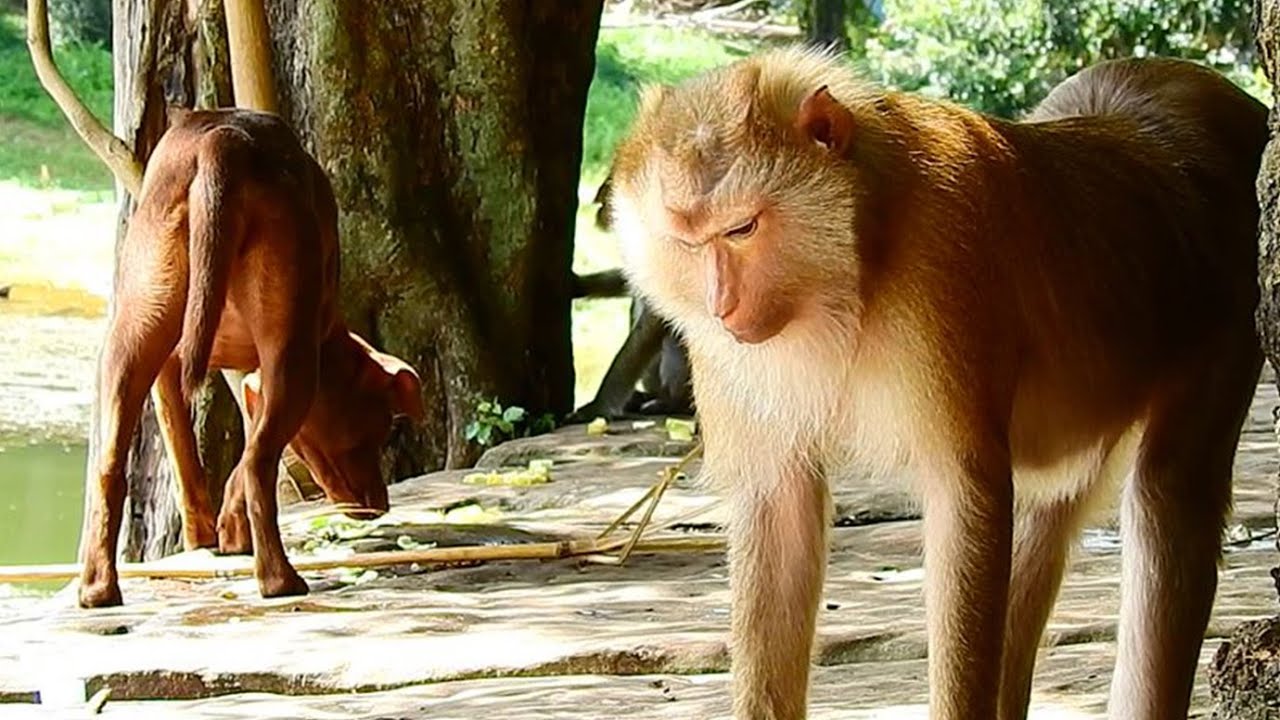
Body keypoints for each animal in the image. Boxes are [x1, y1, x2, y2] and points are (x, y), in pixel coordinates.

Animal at [604, 47, 1266, 720]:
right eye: (687, 241)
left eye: (742, 229)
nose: (722, 305)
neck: (861, 257)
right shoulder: (727, 358)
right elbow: (779, 510)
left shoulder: (944, 273)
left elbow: (965, 495)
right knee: (1046, 510)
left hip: (1233, 318)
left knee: (1169, 494)